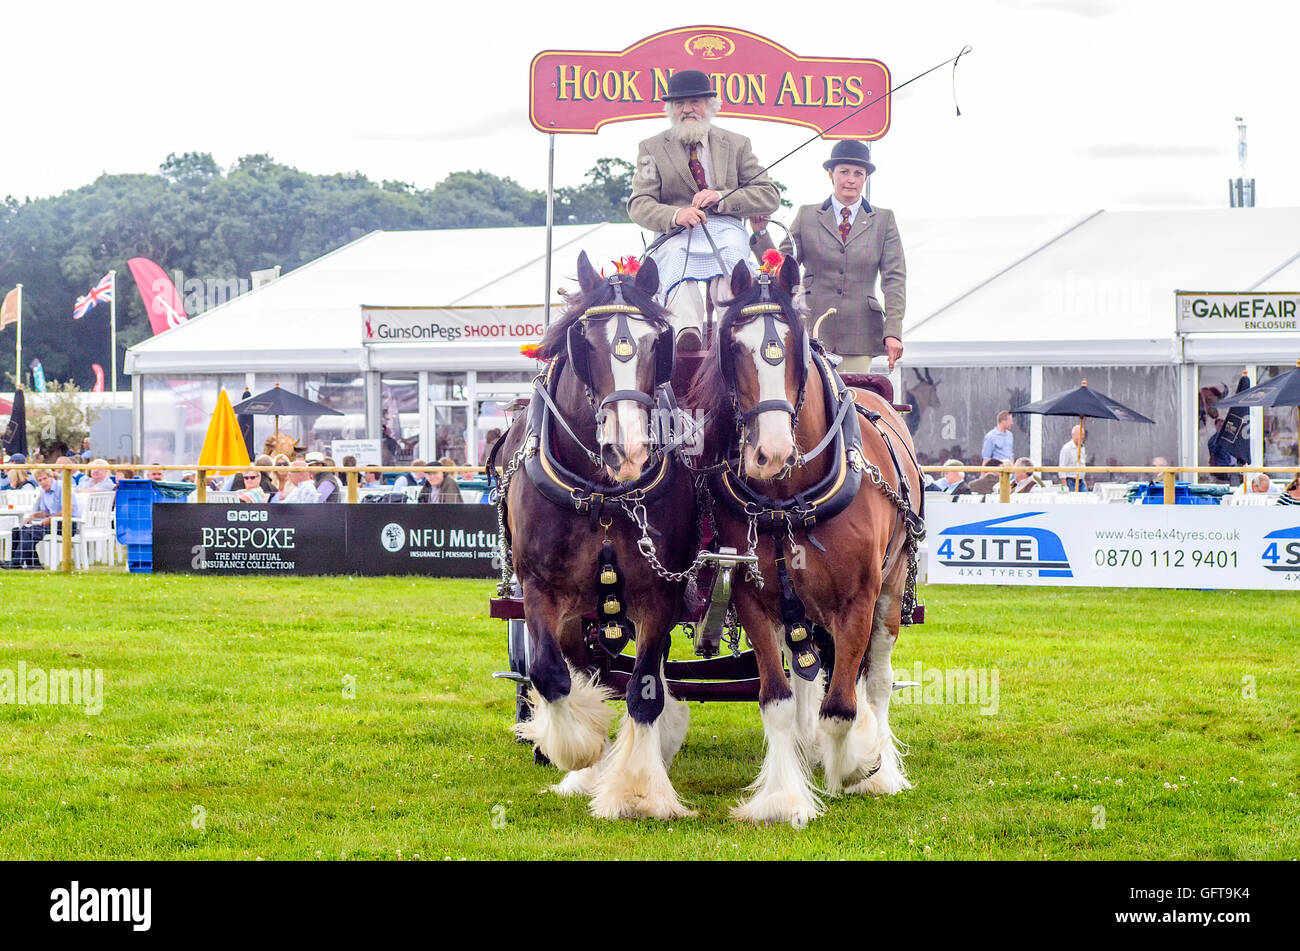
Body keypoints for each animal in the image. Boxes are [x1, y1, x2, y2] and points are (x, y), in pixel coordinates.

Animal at [494, 251, 699, 819]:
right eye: (584, 343)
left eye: (656, 342)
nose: (627, 451)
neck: (605, 497)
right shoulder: (541, 589)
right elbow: (550, 673)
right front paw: (579, 752)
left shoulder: (659, 594)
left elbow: (645, 690)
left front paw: (638, 790)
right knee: (579, 666)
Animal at [686, 256, 925, 826]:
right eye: (734, 347)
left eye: (794, 348)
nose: (769, 453)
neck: (788, 498)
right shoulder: (753, 598)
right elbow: (777, 700)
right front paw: (784, 796)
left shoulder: (857, 600)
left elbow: (842, 706)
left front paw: (856, 768)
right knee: (807, 676)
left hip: (891, 588)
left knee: (876, 680)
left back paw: (881, 765)